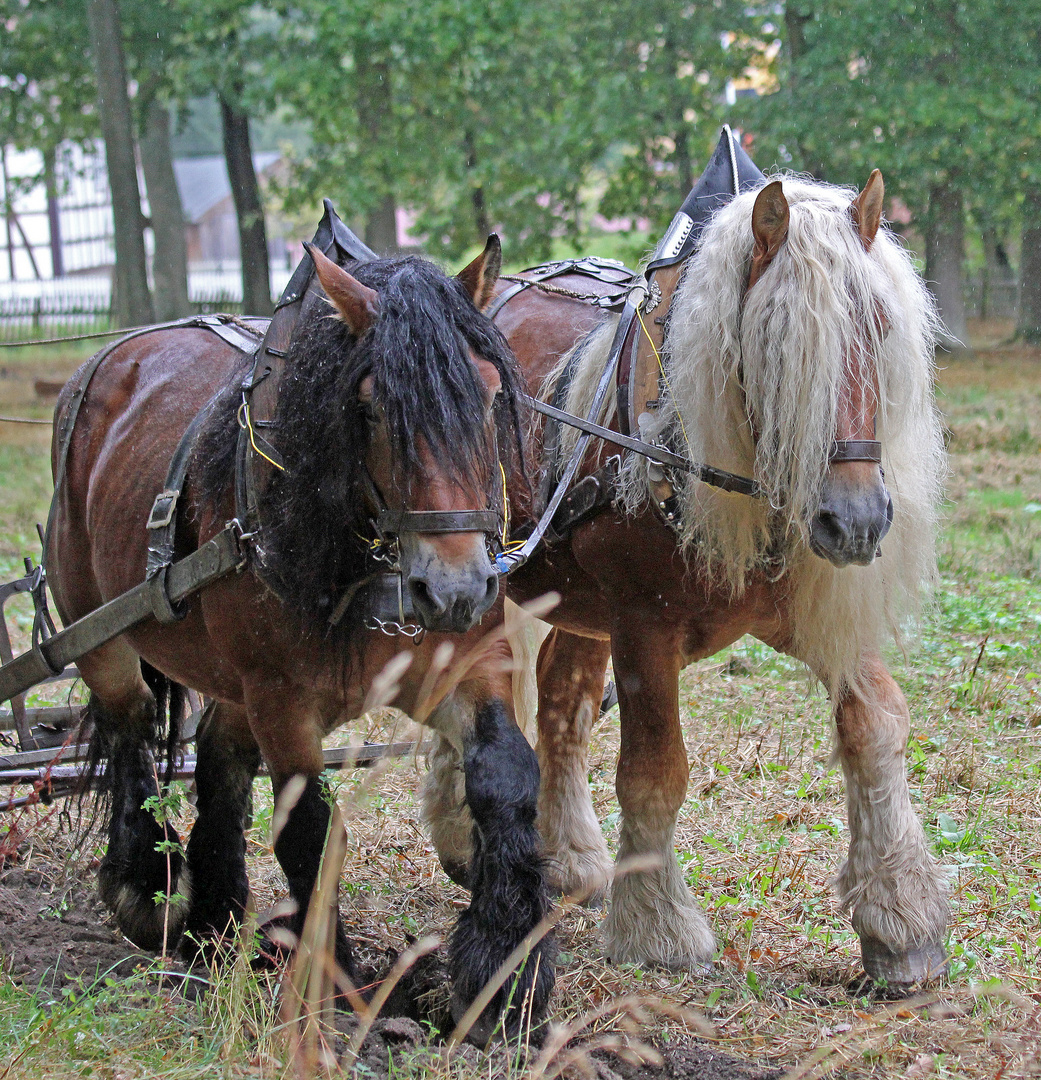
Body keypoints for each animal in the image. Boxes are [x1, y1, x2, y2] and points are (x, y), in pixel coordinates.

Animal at [45, 229, 554, 1041]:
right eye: (371, 408)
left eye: (489, 393)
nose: (455, 587)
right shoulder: (281, 698)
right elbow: (309, 827)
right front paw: (338, 983)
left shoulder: (469, 660)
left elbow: (505, 774)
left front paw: (505, 974)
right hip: (101, 637)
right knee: (130, 730)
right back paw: (147, 891)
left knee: (216, 753)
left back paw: (213, 917)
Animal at [466, 166, 949, 989]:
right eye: (773, 345)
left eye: (879, 327)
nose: (855, 520)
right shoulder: (642, 624)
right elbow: (654, 768)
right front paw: (657, 928)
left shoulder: (813, 614)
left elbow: (875, 722)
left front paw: (899, 917)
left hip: (577, 602)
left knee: (561, 705)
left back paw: (571, 858)